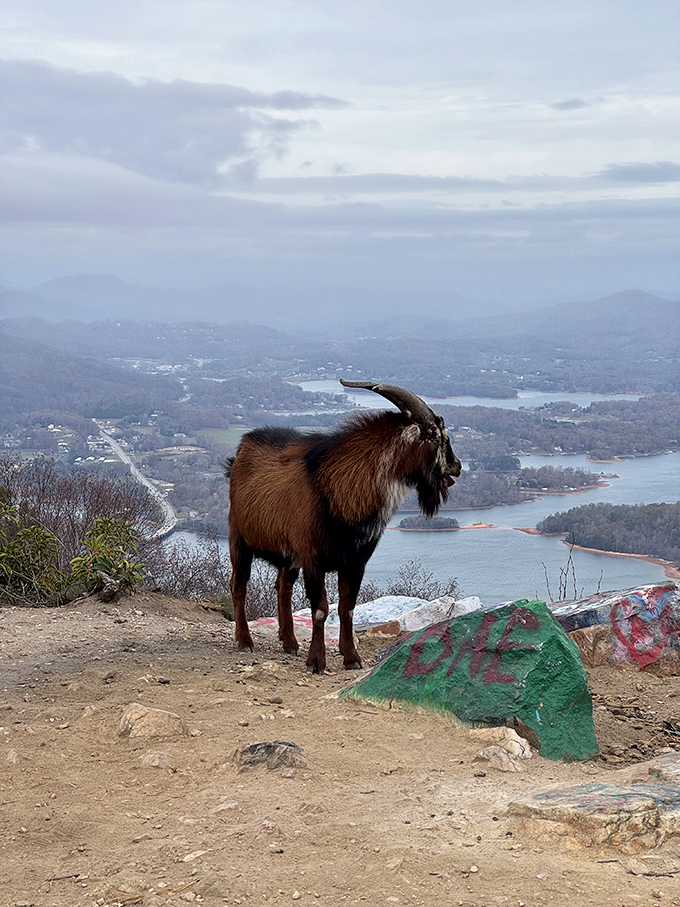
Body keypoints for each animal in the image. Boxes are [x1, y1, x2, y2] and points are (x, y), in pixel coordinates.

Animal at [224, 380, 461, 673]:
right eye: (437, 437)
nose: (456, 466)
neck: (339, 488)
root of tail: (240, 451)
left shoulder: (356, 561)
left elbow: (347, 608)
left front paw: (352, 658)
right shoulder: (313, 558)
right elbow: (320, 609)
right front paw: (316, 662)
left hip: (289, 557)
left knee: (283, 586)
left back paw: (289, 642)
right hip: (239, 538)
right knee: (239, 585)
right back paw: (244, 640)